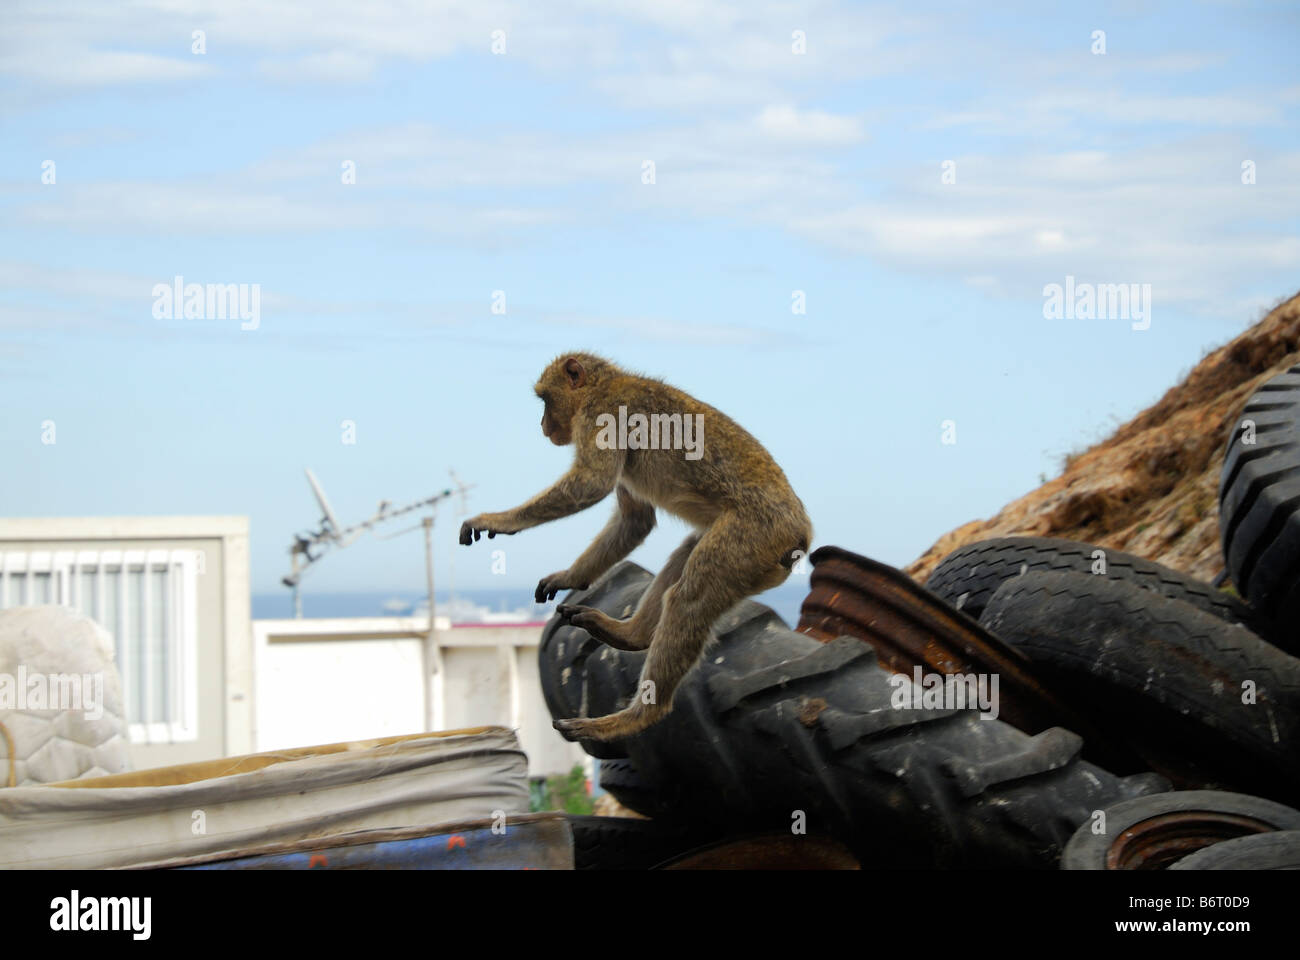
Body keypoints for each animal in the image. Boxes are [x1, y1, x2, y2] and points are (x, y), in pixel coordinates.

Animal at [459, 352, 812, 743]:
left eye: (545, 400)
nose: (543, 425)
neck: (603, 386)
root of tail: (800, 536)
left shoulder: (602, 414)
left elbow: (591, 484)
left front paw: (498, 521)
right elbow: (635, 520)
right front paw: (571, 576)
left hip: (753, 538)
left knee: (689, 598)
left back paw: (636, 716)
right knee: (687, 556)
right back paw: (631, 635)